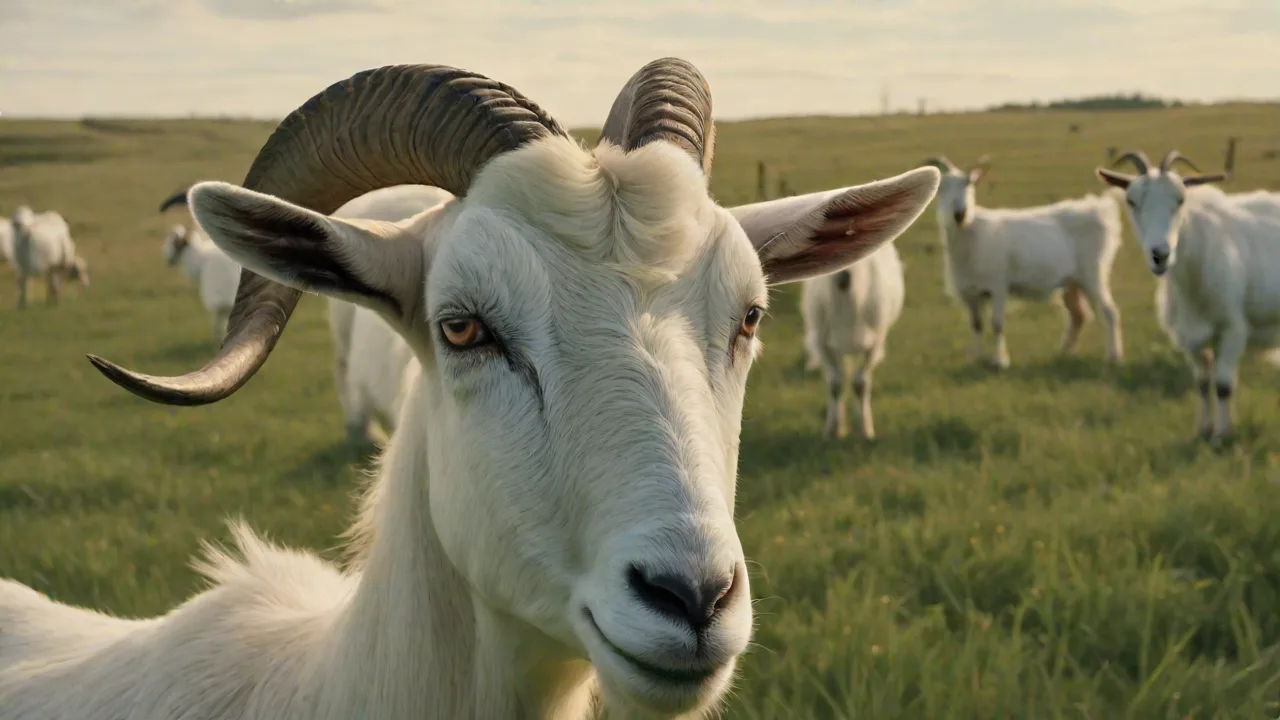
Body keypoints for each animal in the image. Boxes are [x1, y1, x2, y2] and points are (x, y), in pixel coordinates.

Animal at [801, 242, 904, 440]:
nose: (844, 277)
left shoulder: (875, 343)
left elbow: (860, 384)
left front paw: (866, 430)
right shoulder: (822, 344)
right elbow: (834, 385)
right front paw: (832, 430)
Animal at [924, 155, 1124, 369]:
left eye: (970, 184)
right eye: (942, 187)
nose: (959, 214)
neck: (972, 232)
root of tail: (1099, 208)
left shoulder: (998, 286)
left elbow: (997, 324)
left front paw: (1000, 361)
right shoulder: (970, 292)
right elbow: (976, 325)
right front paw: (976, 358)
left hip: (1093, 272)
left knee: (1109, 312)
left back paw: (1114, 357)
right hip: (1072, 281)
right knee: (1078, 315)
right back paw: (1063, 354)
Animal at [1097, 147, 1280, 443]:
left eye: (1181, 199)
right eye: (1131, 201)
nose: (1160, 255)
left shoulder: (1233, 330)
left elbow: (1223, 385)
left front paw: (1222, 436)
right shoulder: (1189, 338)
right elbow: (1203, 384)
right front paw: (1204, 430)